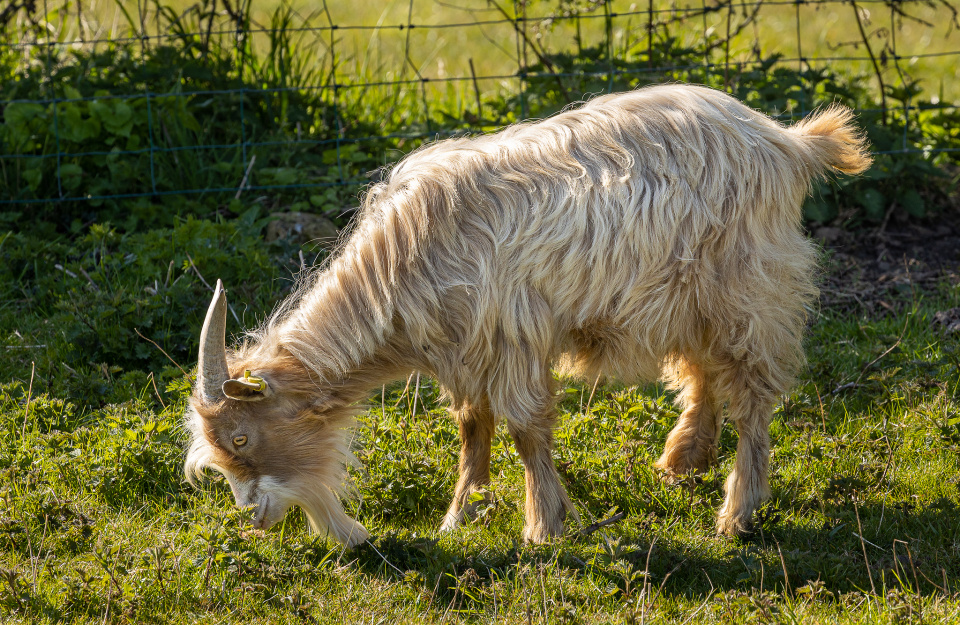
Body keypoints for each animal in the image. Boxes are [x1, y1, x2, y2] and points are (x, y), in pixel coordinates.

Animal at [185, 84, 871, 546]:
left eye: (241, 438)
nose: (253, 516)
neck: (405, 263)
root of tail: (786, 142)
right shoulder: (464, 354)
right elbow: (473, 428)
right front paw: (461, 516)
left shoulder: (511, 337)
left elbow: (525, 429)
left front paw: (543, 526)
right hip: (684, 298)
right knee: (702, 373)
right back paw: (681, 464)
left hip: (748, 291)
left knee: (754, 395)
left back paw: (737, 514)